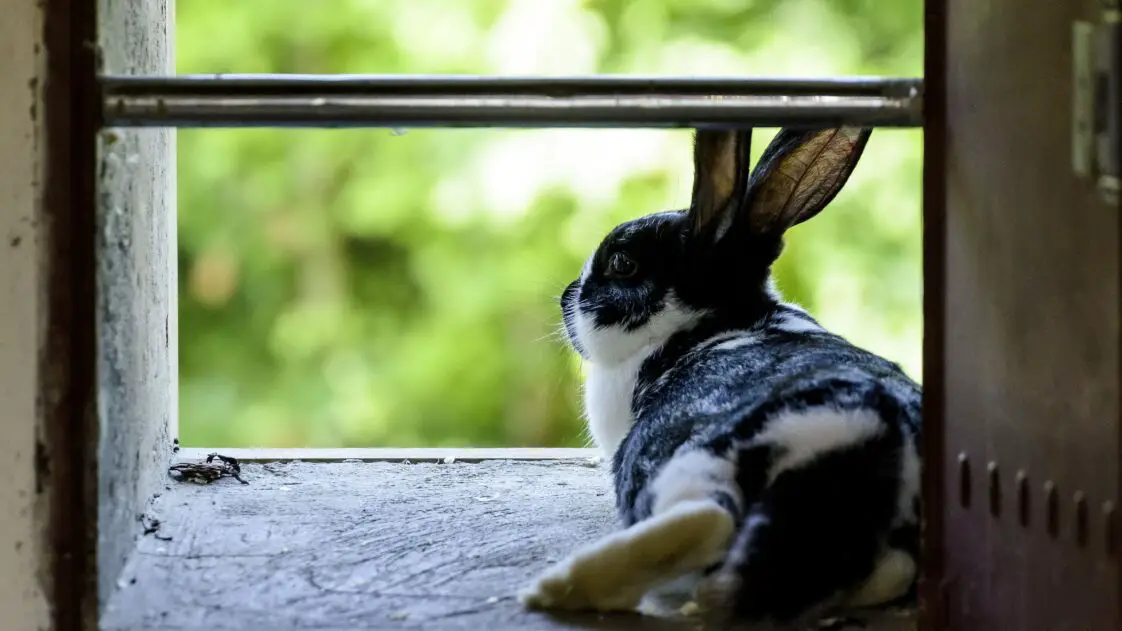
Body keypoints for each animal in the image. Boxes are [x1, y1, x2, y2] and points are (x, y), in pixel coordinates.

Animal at [517, 126, 922, 629]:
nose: (566, 298)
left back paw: (556, 589)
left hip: (695, 461)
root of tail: (878, 433)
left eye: (622, 264)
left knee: (708, 520)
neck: (712, 322)